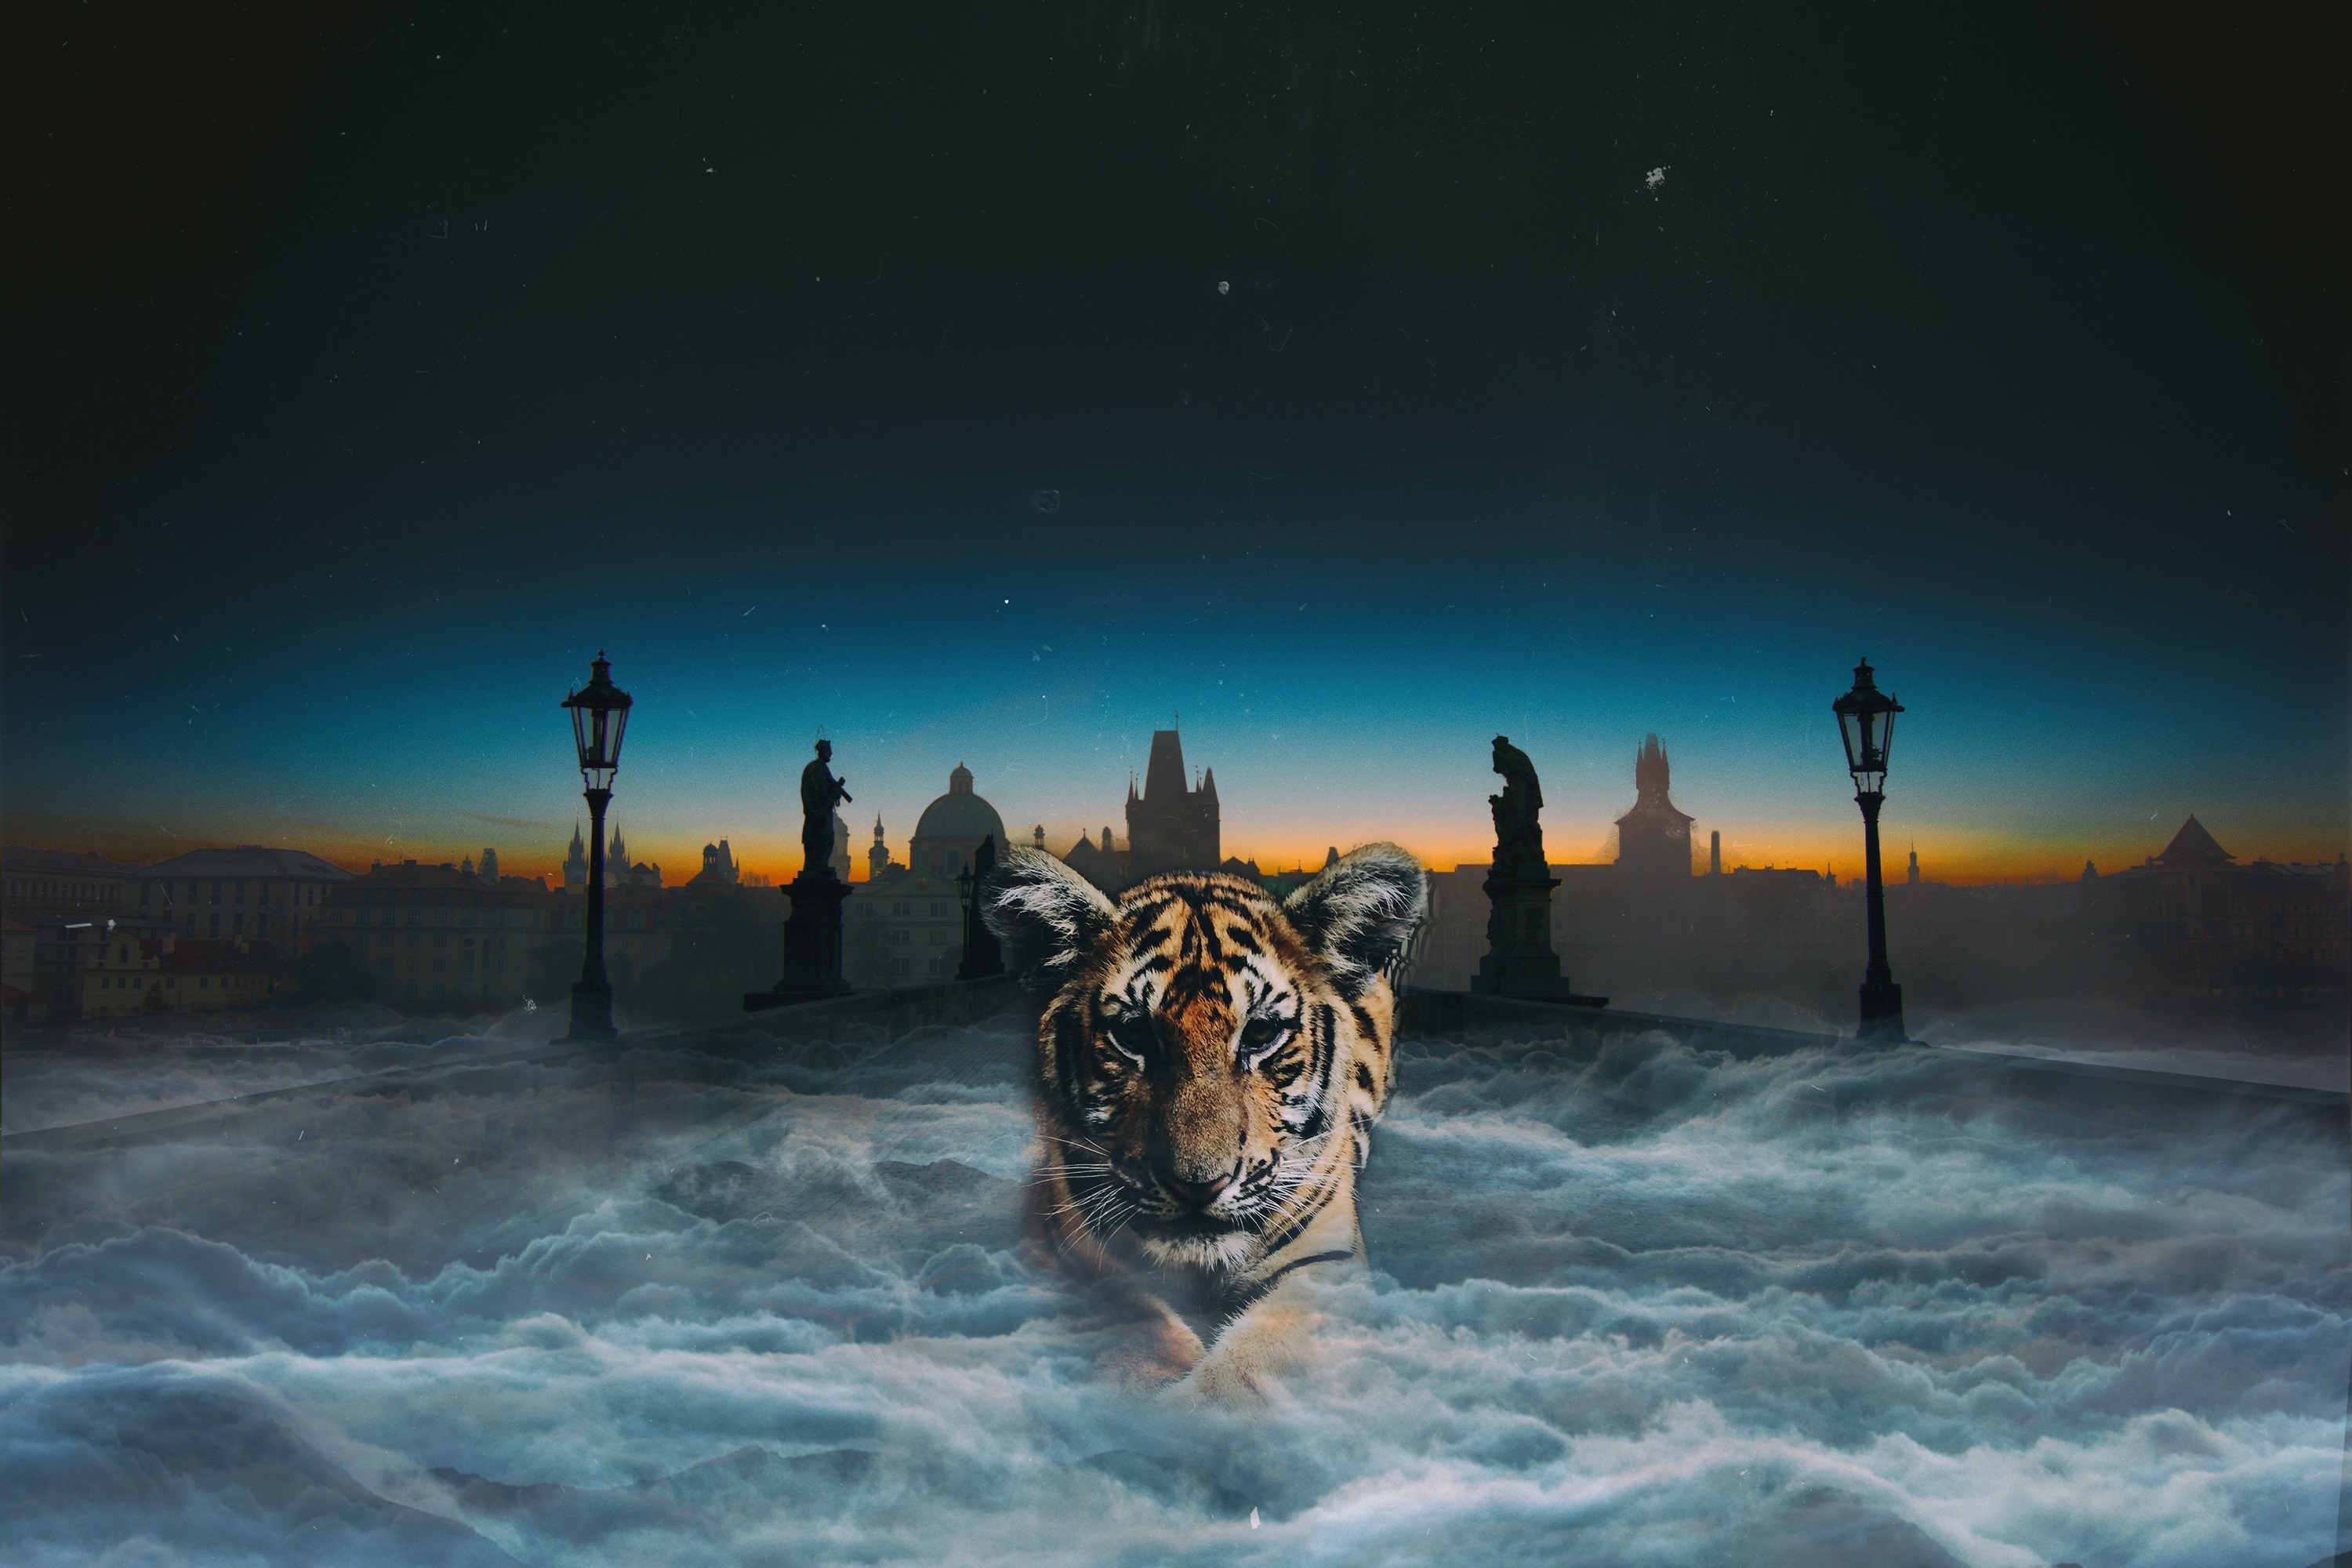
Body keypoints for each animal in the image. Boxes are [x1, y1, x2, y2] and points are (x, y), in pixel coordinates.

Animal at [982, 842, 1427, 1402]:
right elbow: (1137, 1322)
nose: (1198, 1185)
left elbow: (1253, 1365)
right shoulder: (1074, 1247)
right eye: (1133, 1034)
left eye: (1260, 1033)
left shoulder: (1325, 1262)